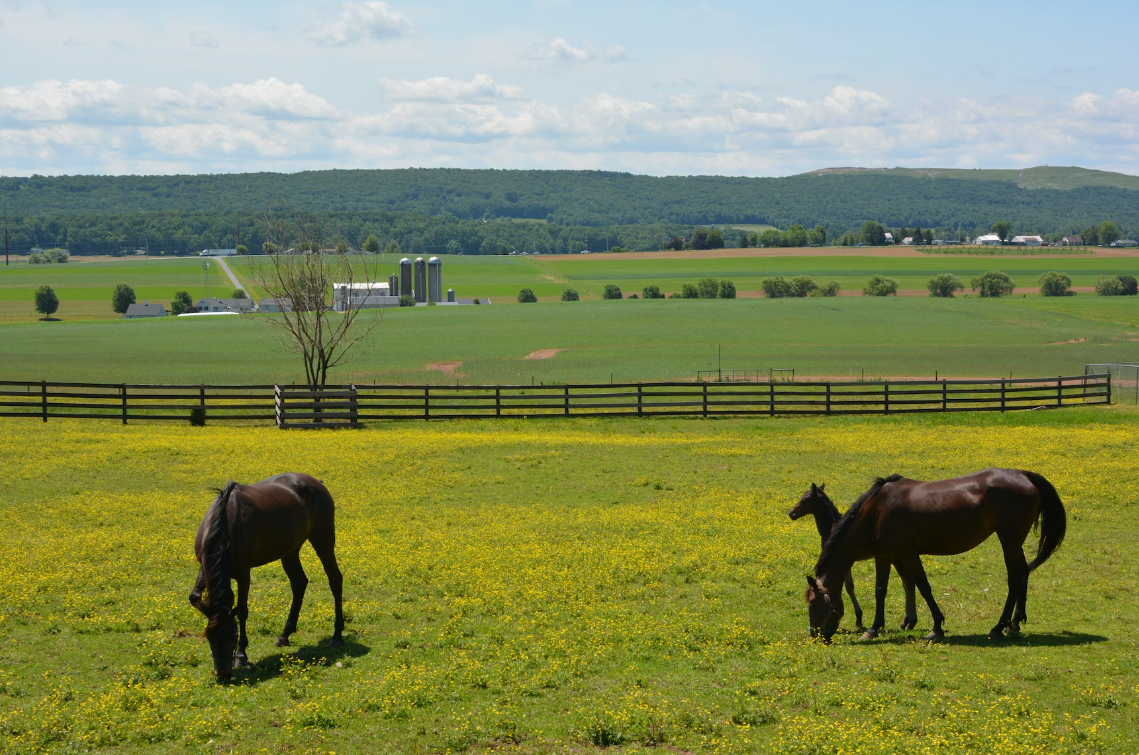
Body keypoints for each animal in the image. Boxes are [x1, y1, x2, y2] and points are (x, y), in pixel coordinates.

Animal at [189, 473, 345, 680]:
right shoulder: (204, 566)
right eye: (209, 636)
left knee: (335, 579)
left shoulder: (243, 572)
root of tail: (317, 483)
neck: (223, 527)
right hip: (290, 550)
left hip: (323, 540)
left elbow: (242, 610)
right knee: (299, 583)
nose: (223, 675)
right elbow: (194, 597)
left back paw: (337, 636)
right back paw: (285, 635)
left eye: (233, 637)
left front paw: (241, 655)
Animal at [790, 483, 919, 632]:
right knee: (908, 583)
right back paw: (907, 621)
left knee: (908, 583)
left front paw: (859, 618)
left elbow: (849, 587)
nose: (791, 513)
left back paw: (909, 621)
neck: (831, 527)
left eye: (804, 499)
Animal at [806, 469, 1065, 643]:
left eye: (812, 603)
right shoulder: (887, 555)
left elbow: (918, 587)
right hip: (1013, 543)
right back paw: (1014, 623)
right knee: (1022, 573)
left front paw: (935, 627)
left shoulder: (904, 554)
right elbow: (891, 589)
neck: (876, 512)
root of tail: (1023, 475)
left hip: (1009, 541)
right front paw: (879, 627)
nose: (816, 636)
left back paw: (998, 627)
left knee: (1015, 577)